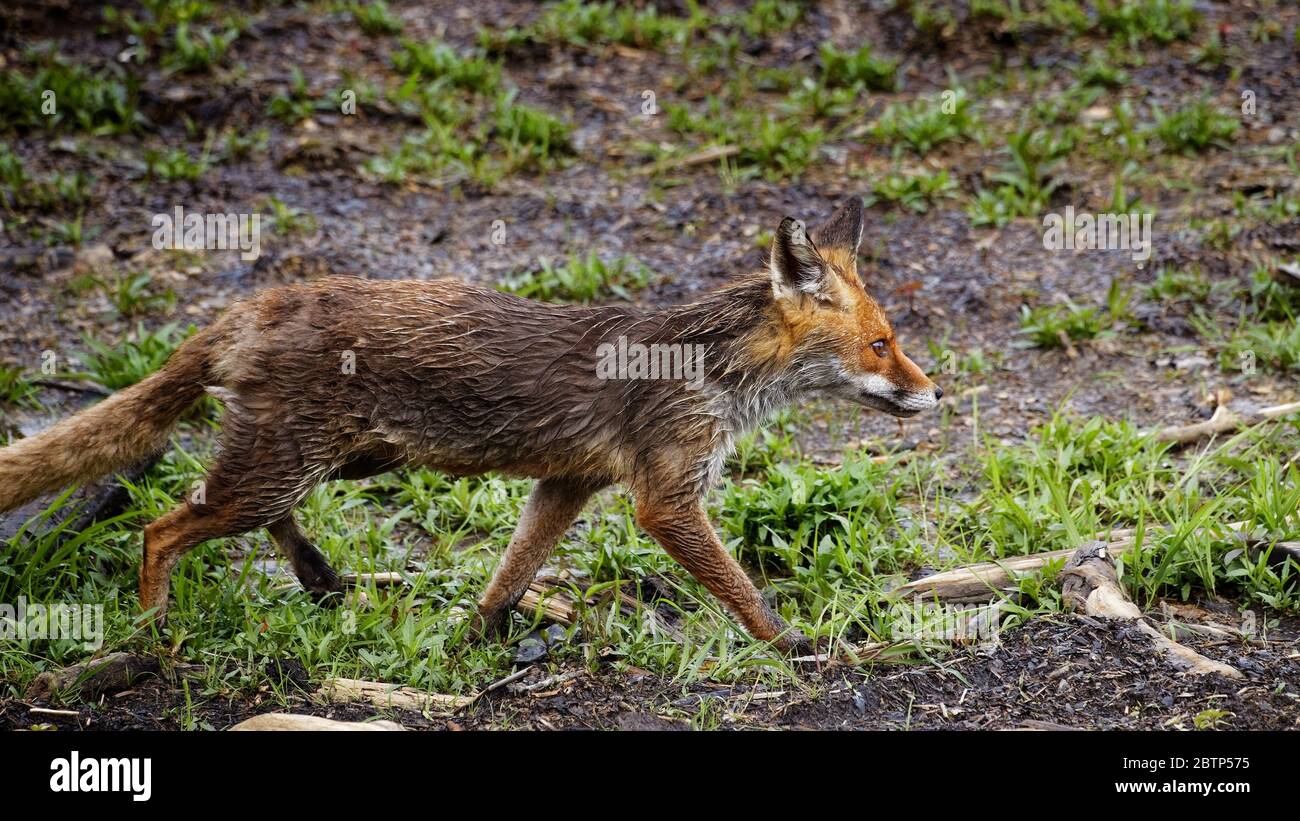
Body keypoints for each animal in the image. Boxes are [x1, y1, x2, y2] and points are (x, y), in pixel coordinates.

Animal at [0, 198, 940, 653]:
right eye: (882, 343)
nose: (933, 394)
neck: (712, 367)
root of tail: (259, 302)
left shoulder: (569, 481)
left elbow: (512, 571)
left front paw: (472, 639)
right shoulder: (665, 498)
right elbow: (744, 591)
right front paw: (797, 647)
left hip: (336, 462)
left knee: (242, 511)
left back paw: (320, 578)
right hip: (291, 464)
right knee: (163, 527)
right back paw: (154, 632)